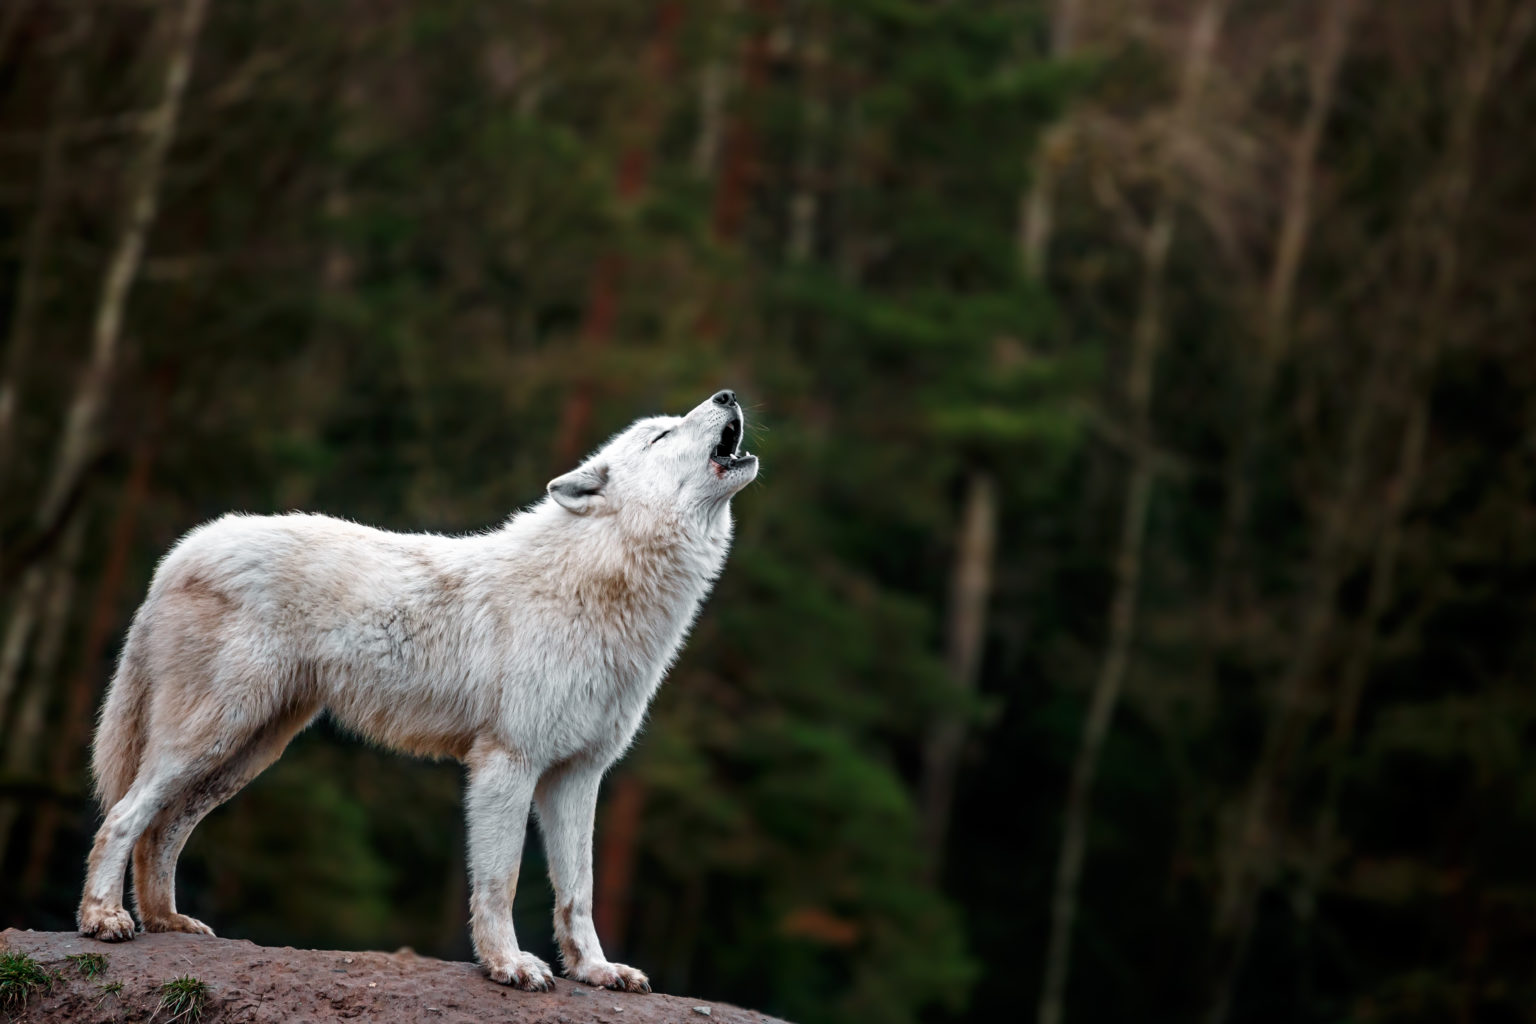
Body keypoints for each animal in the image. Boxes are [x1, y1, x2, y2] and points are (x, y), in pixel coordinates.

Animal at [76, 389, 759, 993]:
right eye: (661, 435)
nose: (728, 395)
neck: (597, 583)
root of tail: (182, 551)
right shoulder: (506, 764)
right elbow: (502, 882)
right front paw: (508, 966)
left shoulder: (578, 775)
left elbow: (578, 893)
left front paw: (595, 971)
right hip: (211, 735)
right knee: (122, 818)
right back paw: (104, 919)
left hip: (247, 752)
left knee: (161, 831)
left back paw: (167, 922)